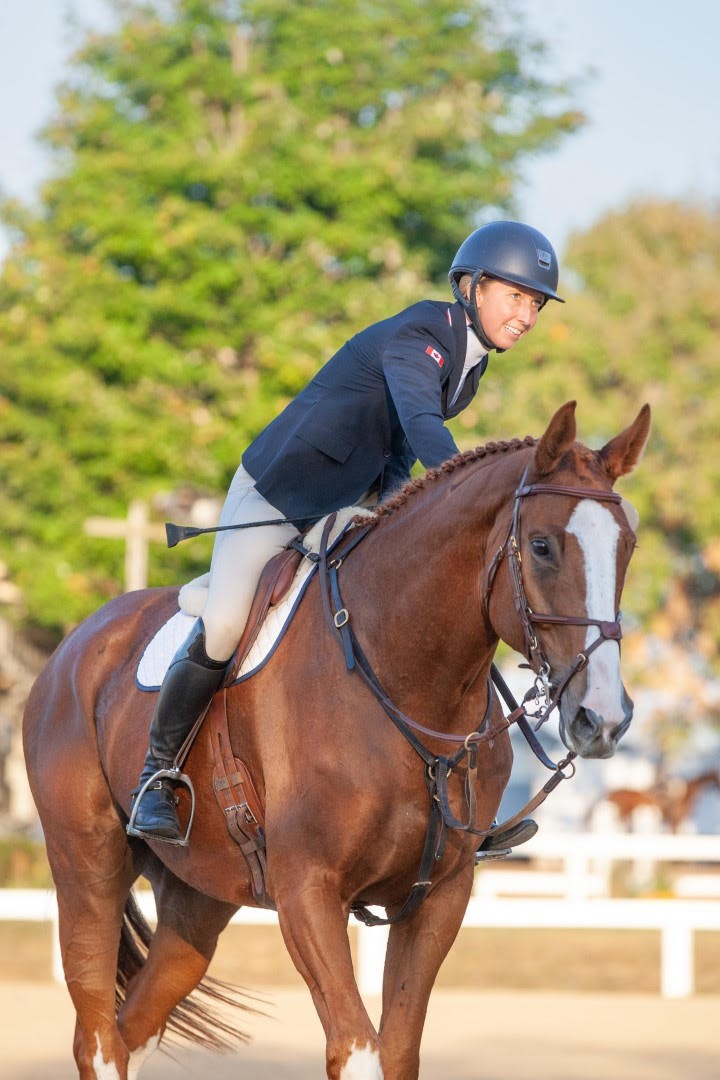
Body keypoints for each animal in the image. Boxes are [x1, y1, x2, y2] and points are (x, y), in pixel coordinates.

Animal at [23, 400, 650, 1079]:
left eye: (628, 547)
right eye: (541, 546)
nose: (602, 718)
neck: (403, 682)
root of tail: (76, 644)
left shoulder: (440, 897)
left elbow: (398, 1050)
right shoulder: (308, 893)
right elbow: (357, 1051)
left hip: (198, 896)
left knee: (132, 1026)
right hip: (88, 866)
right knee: (97, 1035)